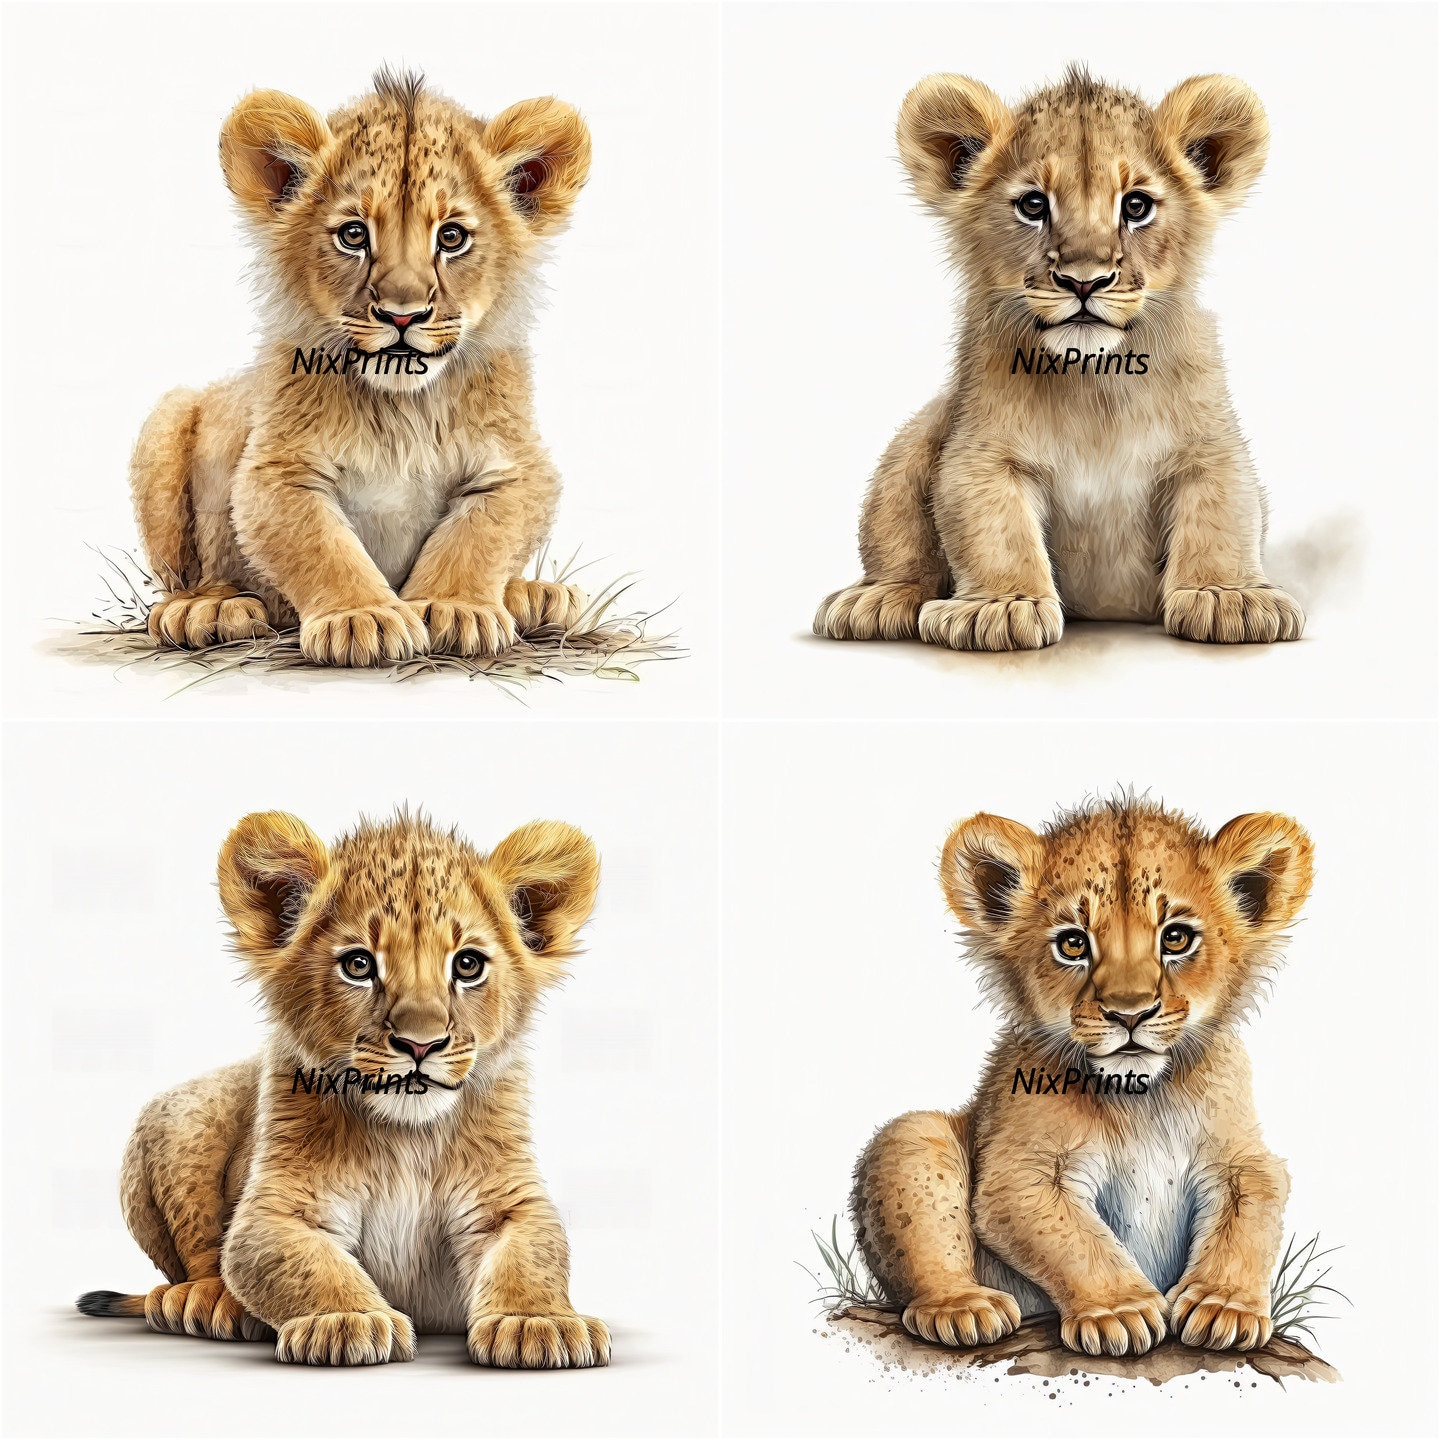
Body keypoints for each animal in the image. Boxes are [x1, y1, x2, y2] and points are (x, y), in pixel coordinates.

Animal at [77, 808, 610, 1368]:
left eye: (468, 965)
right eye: (359, 965)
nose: (420, 1044)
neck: (408, 1136)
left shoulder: (510, 1199)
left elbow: (532, 1255)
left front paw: (538, 1323)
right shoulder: (276, 1208)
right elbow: (307, 1263)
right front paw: (345, 1320)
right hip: (178, 1118)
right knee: (196, 1255)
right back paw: (207, 1300)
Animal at [131, 68, 592, 666]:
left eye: (451, 237)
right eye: (353, 235)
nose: (402, 314)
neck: (402, 407)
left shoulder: (518, 468)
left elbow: (479, 535)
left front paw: (452, 607)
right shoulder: (277, 471)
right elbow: (320, 544)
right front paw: (362, 618)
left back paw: (536, 596)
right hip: (167, 421)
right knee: (187, 574)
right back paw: (207, 608)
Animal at [815, 66, 1304, 650]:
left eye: (1136, 206)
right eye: (1033, 205)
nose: (1084, 281)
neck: (1094, 381)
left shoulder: (1211, 445)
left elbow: (1223, 511)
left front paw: (1227, 596)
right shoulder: (981, 450)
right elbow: (992, 525)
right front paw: (1002, 607)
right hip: (922, 430)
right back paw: (877, 598)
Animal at [851, 796, 1312, 1357]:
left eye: (1176, 938)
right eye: (1072, 944)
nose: (1129, 1014)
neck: (1139, 1098)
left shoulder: (1241, 1159)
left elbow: (1247, 1219)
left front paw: (1225, 1306)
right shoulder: (1019, 1173)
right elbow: (1076, 1240)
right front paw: (1120, 1311)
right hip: (913, 1138)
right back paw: (962, 1309)